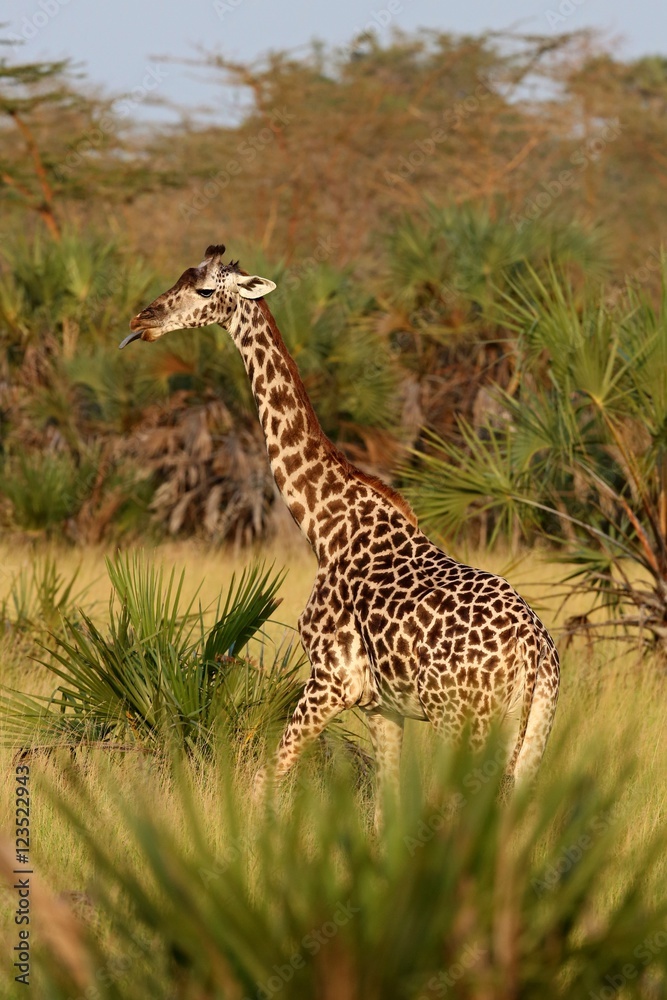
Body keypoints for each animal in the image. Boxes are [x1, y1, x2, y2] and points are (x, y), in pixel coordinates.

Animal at [121, 244, 560, 820]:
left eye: (204, 290)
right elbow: (387, 806)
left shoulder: (330, 680)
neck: (324, 526)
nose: (140, 321)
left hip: (462, 720)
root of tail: (535, 655)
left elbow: (266, 779)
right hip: (530, 728)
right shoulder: (382, 705)